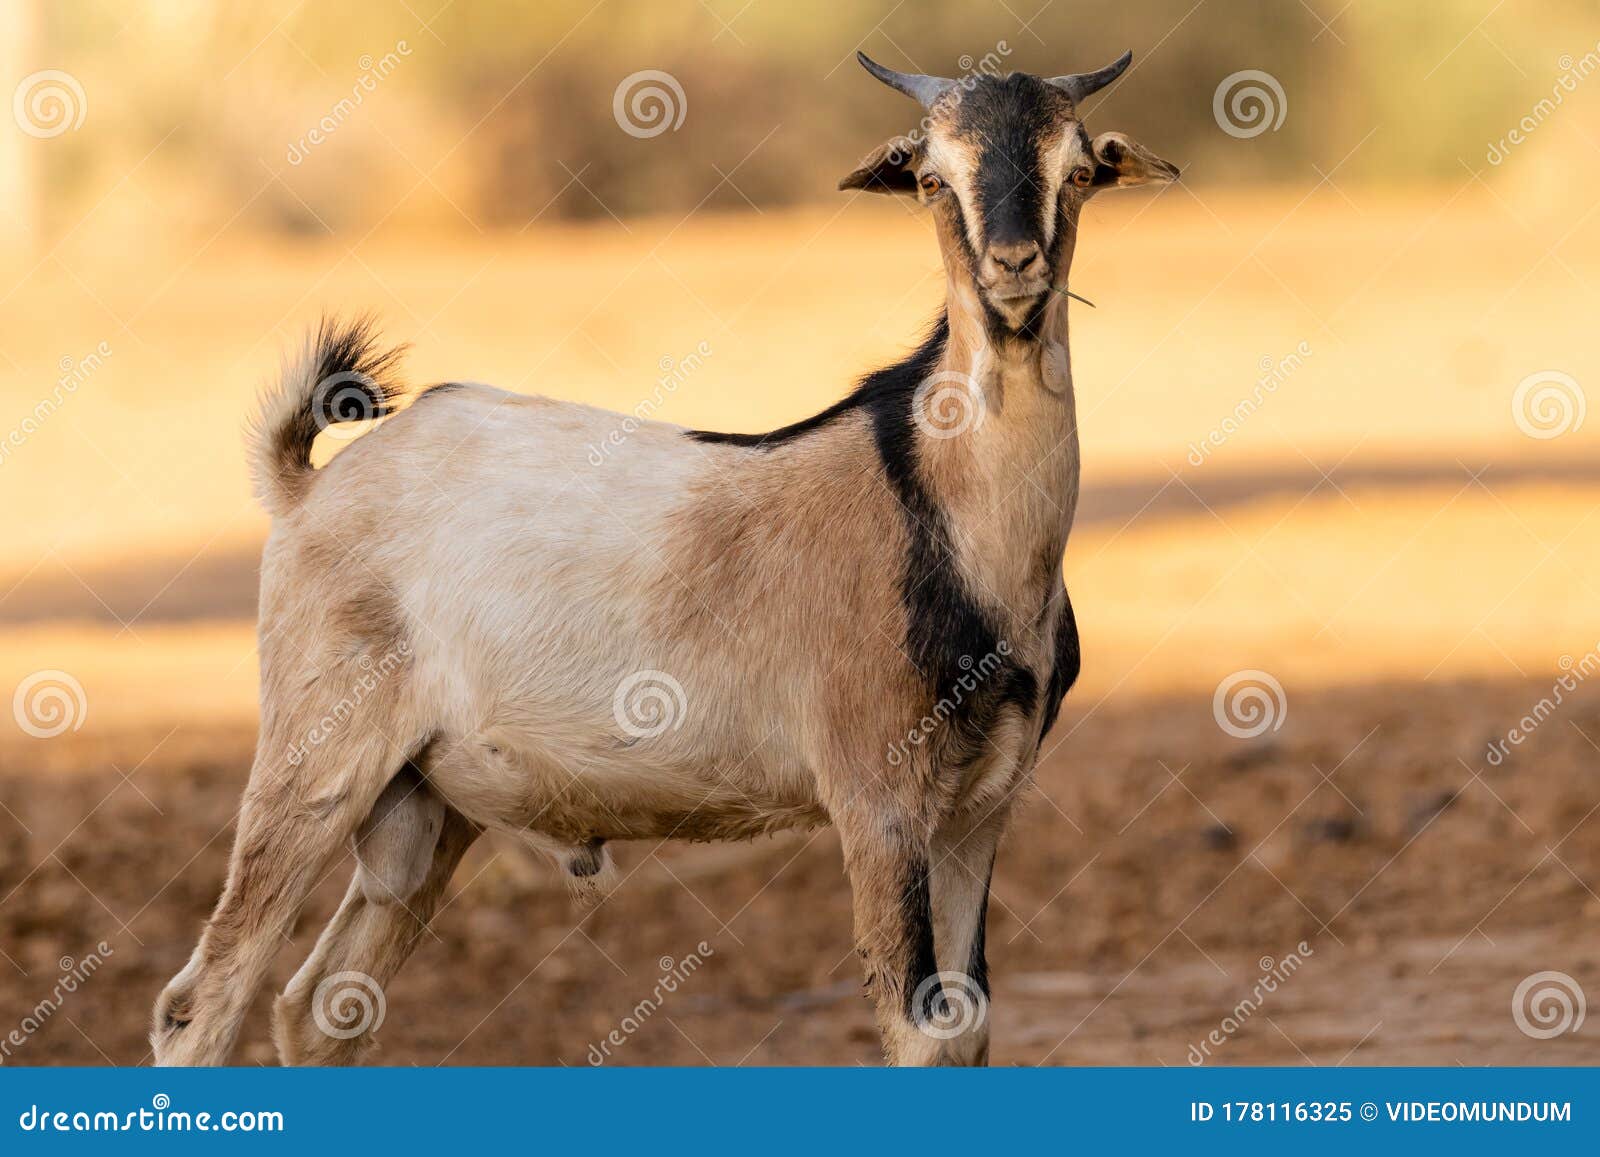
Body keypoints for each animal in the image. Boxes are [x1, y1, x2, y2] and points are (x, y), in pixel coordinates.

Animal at [151, 51, 1177, 1067]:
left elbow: (969, 1026)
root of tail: (308, 489)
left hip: (423, 807)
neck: (946, 509)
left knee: (320, 1006)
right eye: (930, 177)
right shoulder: (877, 801)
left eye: (1077, 170)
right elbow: (918, 1032)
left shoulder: (981, 806)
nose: (1015, 270)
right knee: (203, 1000)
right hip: (316, 759)